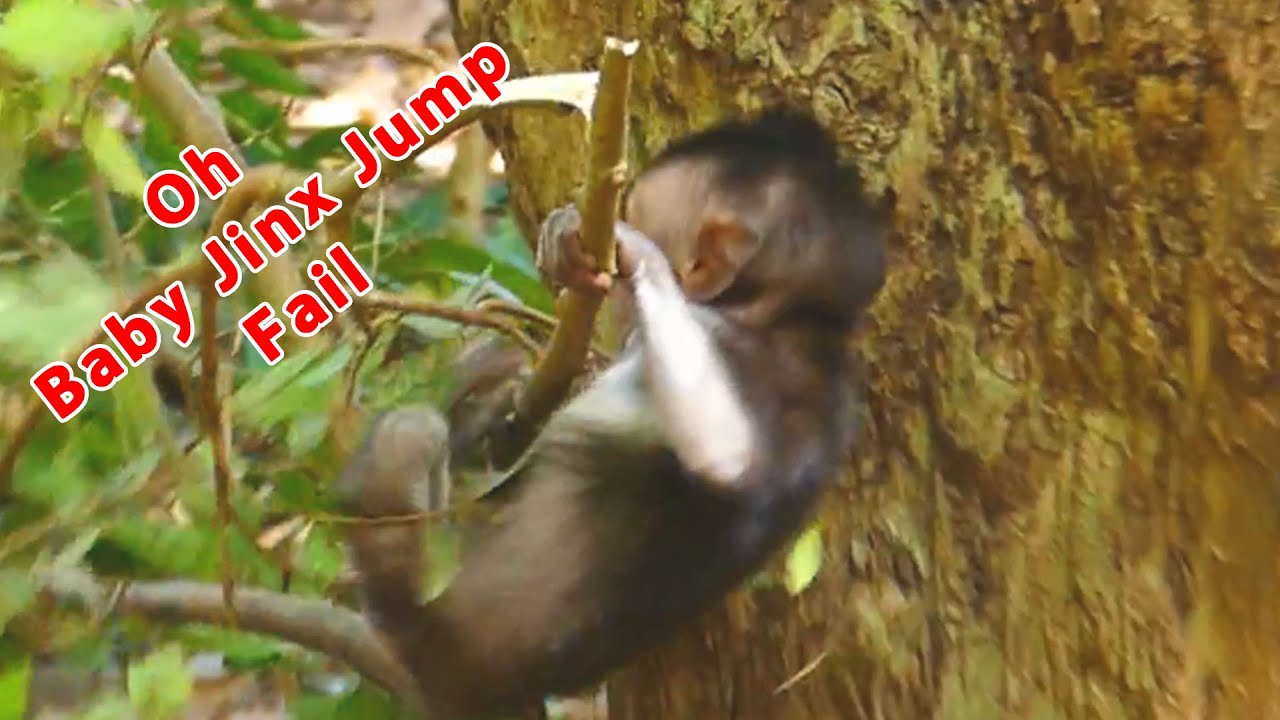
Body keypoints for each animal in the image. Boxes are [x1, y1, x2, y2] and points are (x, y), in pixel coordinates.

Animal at [335, 109, 890, 719]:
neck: (795, 320)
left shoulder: (722, 339)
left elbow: (722, 455)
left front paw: (636, 256)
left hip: (428, 607)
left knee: (410, 435)